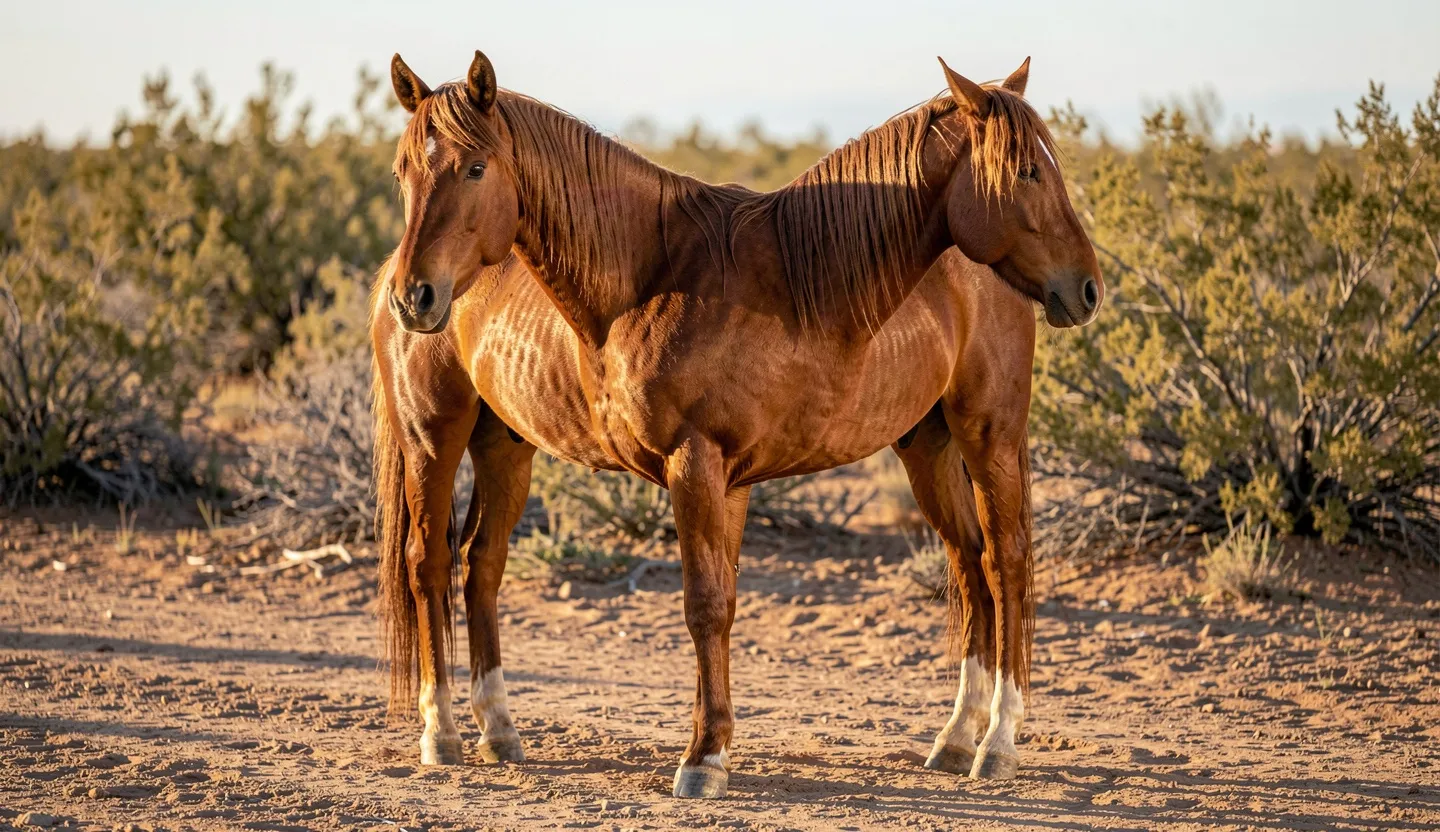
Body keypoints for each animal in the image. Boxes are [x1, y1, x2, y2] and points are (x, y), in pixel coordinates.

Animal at [375, 49, 1102, 798]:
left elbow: (709, 604)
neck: (648, 280)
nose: (1086, 287)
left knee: (999, 562)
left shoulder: (706, 467)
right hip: (449, 438)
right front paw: (710, 749)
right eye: (405, 172)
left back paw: (991, 743)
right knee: (443, 565)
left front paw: (703, 756)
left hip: (981, 436)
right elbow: (713, 605)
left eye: (474, 168)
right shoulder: (711, 470)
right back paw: (456, 731)